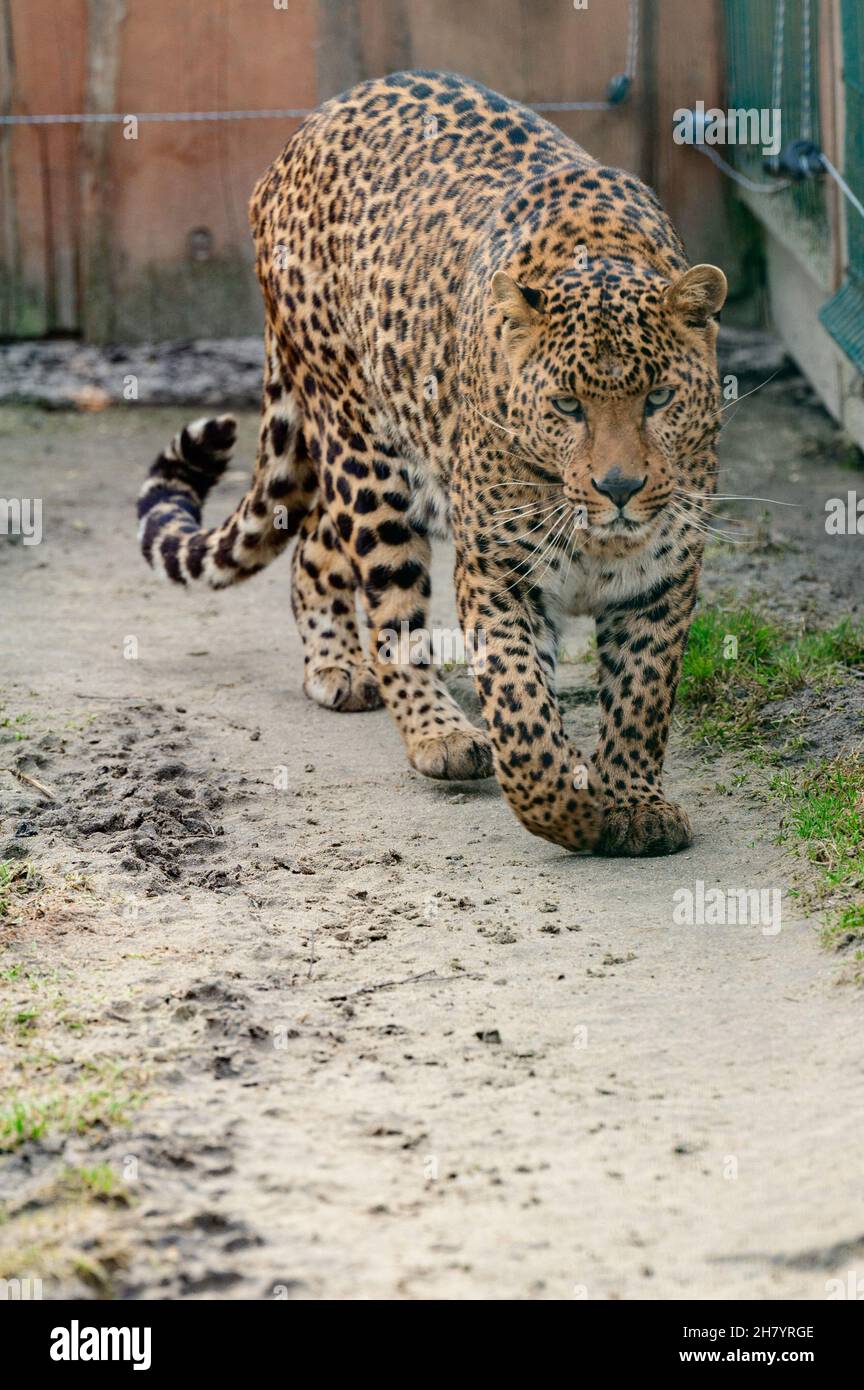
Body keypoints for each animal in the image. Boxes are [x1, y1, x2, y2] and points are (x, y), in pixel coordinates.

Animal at [137, 71, 727, 857]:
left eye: (659, 397)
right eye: (567, 406)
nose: (621, 488)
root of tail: (306, 131)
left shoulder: (661, 579)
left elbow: (641, 697)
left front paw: (633, 801)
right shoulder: (499, 572)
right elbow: (520, 710)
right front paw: (565, 806)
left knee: (313, 547)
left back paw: (335, 665)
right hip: (363, 443)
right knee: (388, 608)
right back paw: (435, 731)